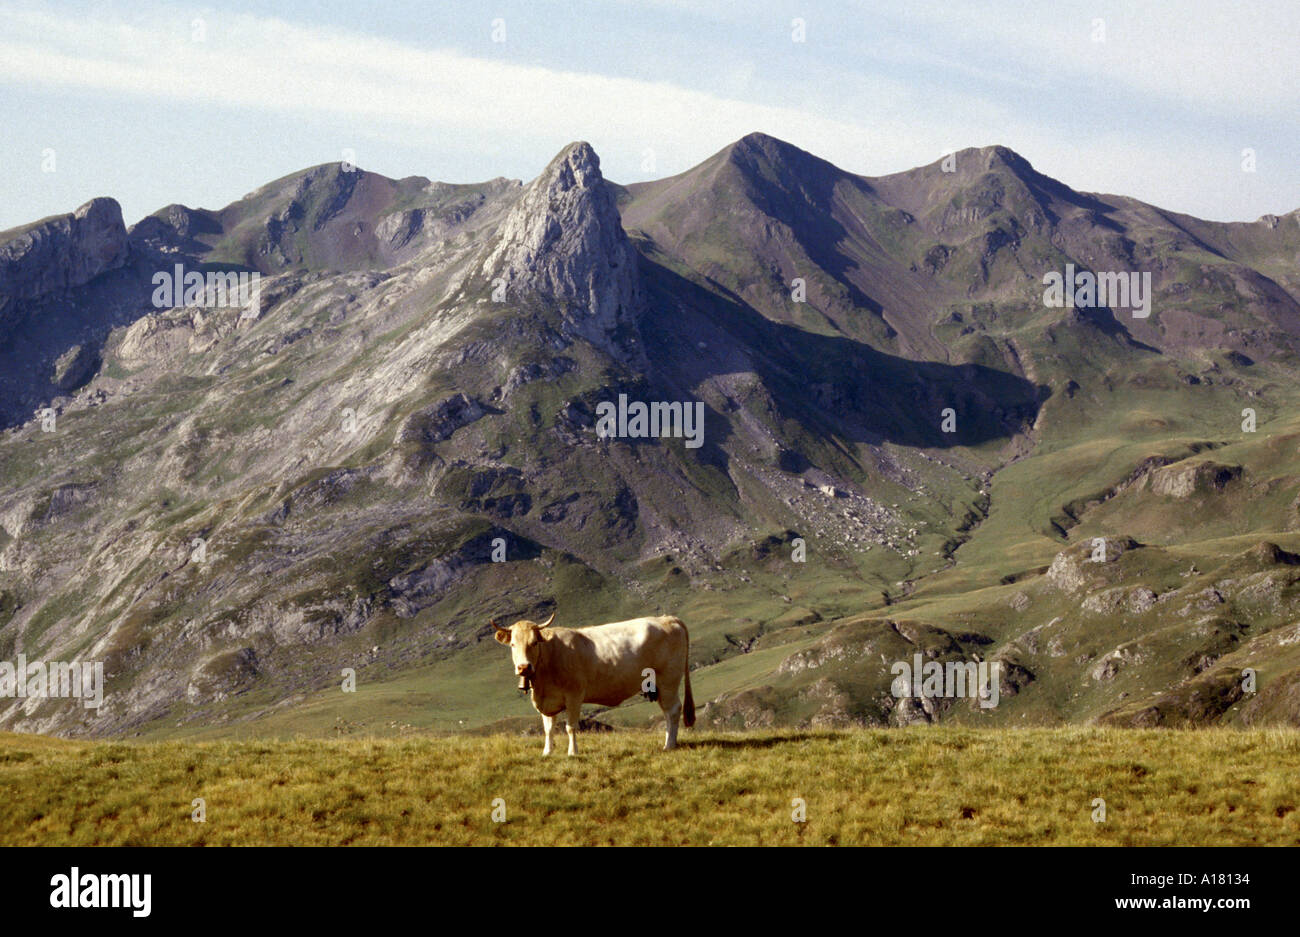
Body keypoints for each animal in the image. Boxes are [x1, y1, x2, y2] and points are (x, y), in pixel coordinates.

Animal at [492, 610, 694, 755]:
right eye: (513, 645)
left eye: (534, 643)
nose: (524, 667)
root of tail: (668, 618)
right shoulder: (547, 700)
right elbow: (548, 729)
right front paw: (547, 753)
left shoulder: (574, 695)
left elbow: (570, 727)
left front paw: (573, 753)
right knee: (667, 713)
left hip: (668, 680)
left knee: (673, 710)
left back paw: (669, 745)